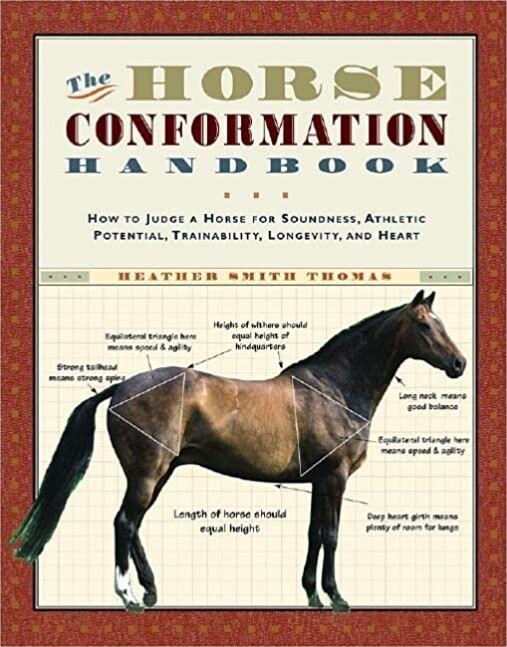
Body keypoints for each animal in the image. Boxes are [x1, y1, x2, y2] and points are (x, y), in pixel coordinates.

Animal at [11, 290, 466, 612]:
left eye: (439, 322)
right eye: (423, 325)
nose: (459, 364)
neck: (335, 388)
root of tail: (120, 387)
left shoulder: (318, 481)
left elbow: (314, 534)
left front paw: (312, 595)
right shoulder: (335, 477)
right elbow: (332, 536)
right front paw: (336, 597)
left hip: (160, 473)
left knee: (133, 525)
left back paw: (152, 591)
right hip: (147, 473)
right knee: (124, 522)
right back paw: (130, 597)